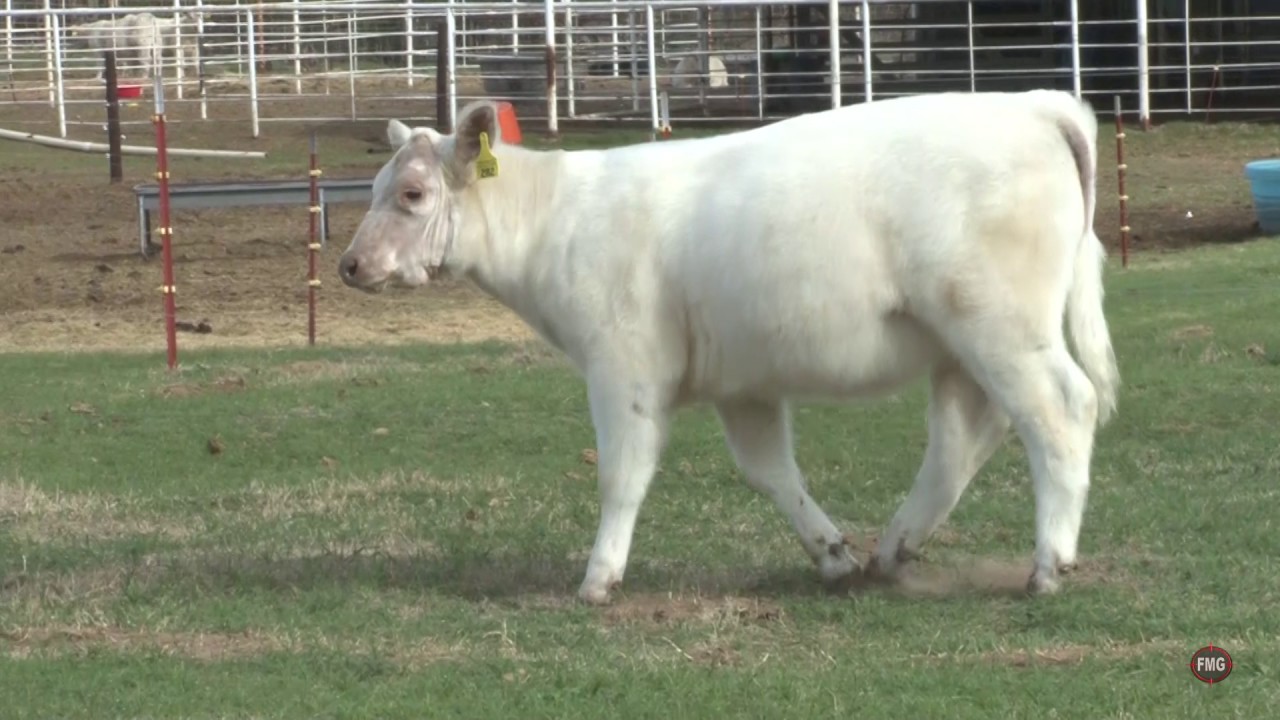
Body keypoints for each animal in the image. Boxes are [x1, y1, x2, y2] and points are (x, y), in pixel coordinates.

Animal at [336, 90, 1120, 606]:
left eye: (411, 194)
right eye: (374, 185)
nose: (348, 265)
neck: (558, 217)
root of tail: (1035, 105)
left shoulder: (623, 368)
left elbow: (622, 475)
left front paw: (598, 578)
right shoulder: (743, 383)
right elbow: (770, 471)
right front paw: (831, 554)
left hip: (1002, 328)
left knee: (1060, 411)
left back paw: (1050, 563)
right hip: (962, 347)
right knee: (964, 439)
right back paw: (894, 549)